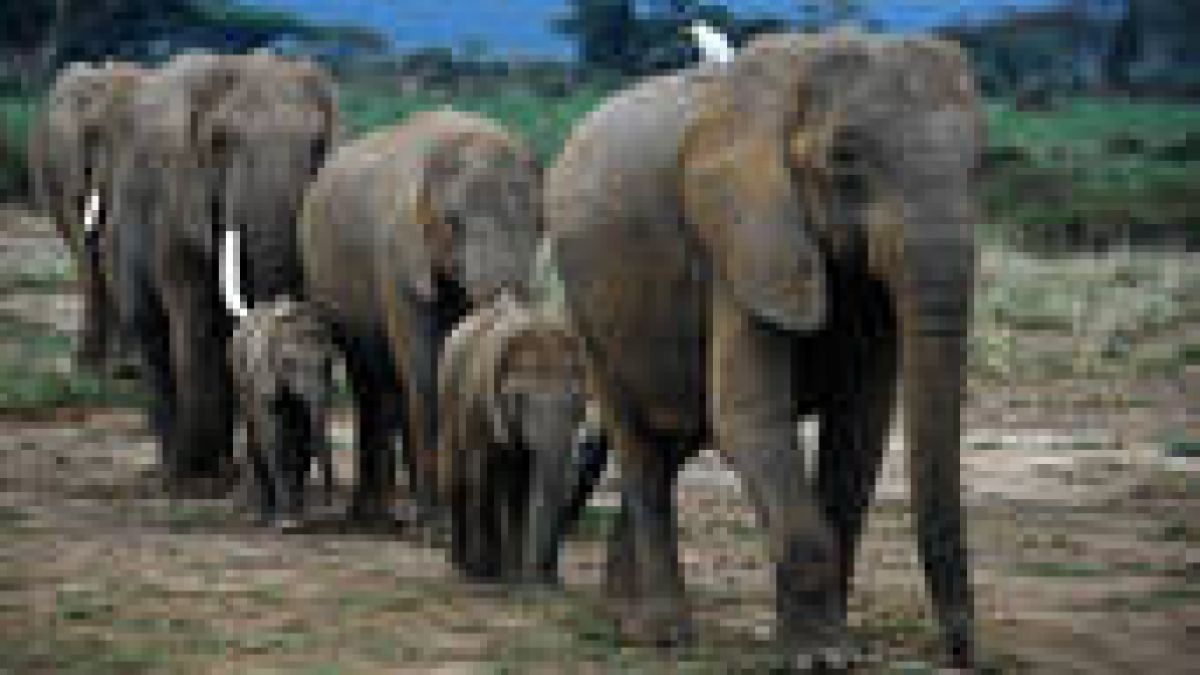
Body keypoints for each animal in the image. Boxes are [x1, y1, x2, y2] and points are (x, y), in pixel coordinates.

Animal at [108, 51, 337, 494]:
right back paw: (174, 472)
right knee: (151, 330)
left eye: (319, 145)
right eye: (219, 141)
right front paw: (201, 481)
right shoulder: (175, 204)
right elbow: (194, 317)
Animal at [228, 295, 335, 528]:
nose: (328, 504)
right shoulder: (264, 378)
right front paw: (287, 522)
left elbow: (302, 435)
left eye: (328, 363)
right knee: (255, 435)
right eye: (289, 363)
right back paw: (262, 514)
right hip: (239, 378)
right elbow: (274, 437)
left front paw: (298, 516)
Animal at [298, 108, 542, 522]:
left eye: (537, 222)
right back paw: (375, 515)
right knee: (368, 379)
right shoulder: (399, 257)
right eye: (453, 222)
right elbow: (426, 368)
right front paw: (438, 524)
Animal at [436, 294, 606, 583]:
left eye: (578, 401)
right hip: (447, 396)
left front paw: (515, 575)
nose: (543, 577)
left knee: (515, 487)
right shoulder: (479, 406)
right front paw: (487, 573)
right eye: (520, 398)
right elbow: (483, 475)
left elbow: (524, 484)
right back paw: (463, 566)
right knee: (457, 478)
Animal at [544, 31, 984, 669]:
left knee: (675, 438)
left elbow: (859, 429)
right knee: (640, 445)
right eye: (844, 158)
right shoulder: (740, 239)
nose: (958, 650)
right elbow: (749, 419)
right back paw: (663, 634)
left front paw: (827, 645)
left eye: (980, 165)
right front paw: (818, 659)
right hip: (587, 308)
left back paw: (622, 616)